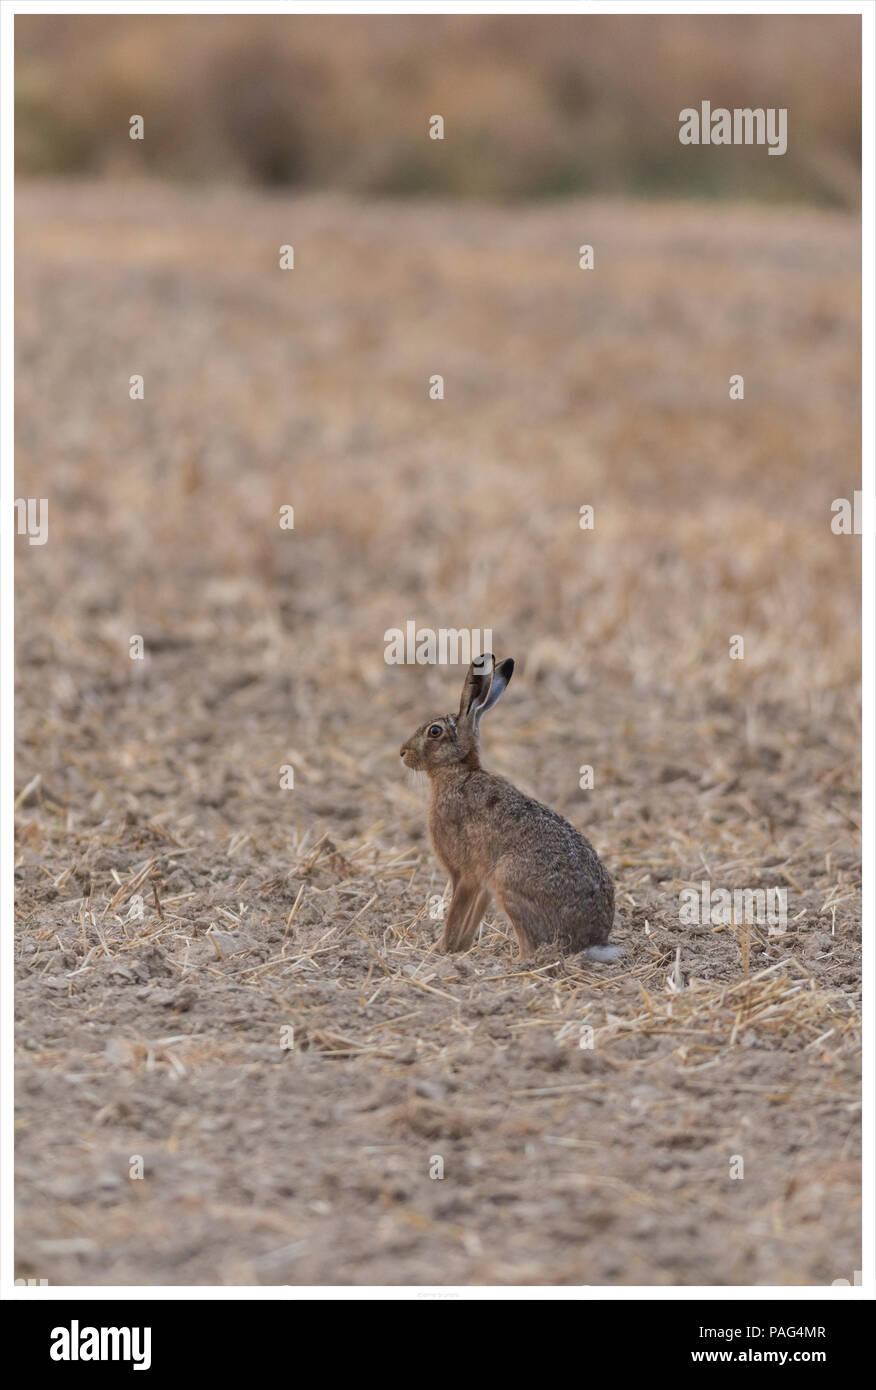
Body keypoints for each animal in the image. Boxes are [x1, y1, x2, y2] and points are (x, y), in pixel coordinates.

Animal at [400, 654, 619, 961]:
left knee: (532, 949)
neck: (457, 771)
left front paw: (441, 951)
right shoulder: (482, 884)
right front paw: (459, 949)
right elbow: (470, 920)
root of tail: (592, 942)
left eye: (434, 731)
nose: (402, 753)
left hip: (508, 881)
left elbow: (455, 915)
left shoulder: (464, 874)